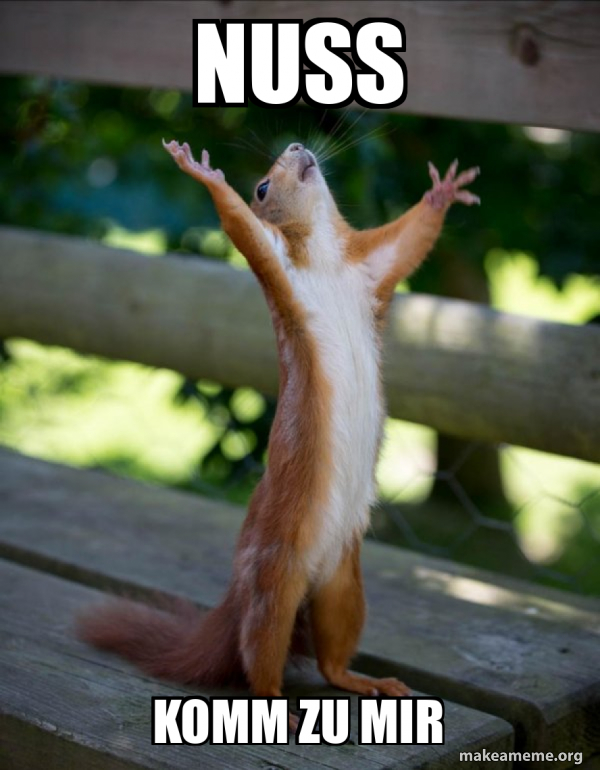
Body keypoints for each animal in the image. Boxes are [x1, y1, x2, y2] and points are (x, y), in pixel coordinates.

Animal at [78, 137, 479, 729]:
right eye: (262, 187)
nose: (296, 146)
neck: (327, 258)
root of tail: (239, 594)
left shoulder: (371, 267)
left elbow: (409, 240)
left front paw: (443, 192)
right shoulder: (277, 265)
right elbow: (240, 226)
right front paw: (204, 174)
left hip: (344, 587)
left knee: (331, 659)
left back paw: (365, 680)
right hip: (273, 584)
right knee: (258, 655)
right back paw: (278, 708)